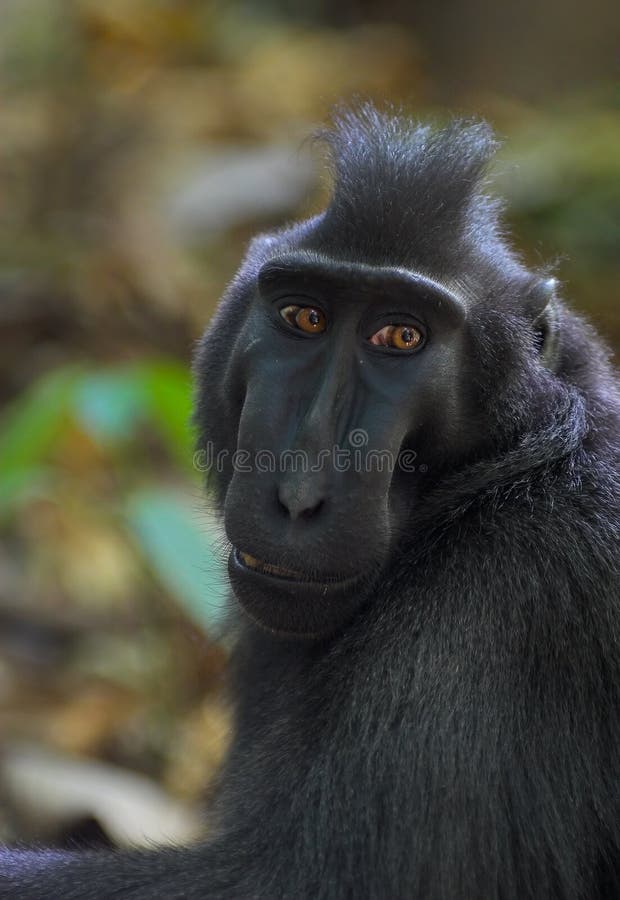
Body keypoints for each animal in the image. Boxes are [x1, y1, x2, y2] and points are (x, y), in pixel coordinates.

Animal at [1, 104, 619, 899]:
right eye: (305, 319)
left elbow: (307, 879)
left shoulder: (515, 602)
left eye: (401, 335)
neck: (509, 470)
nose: (297, 493)